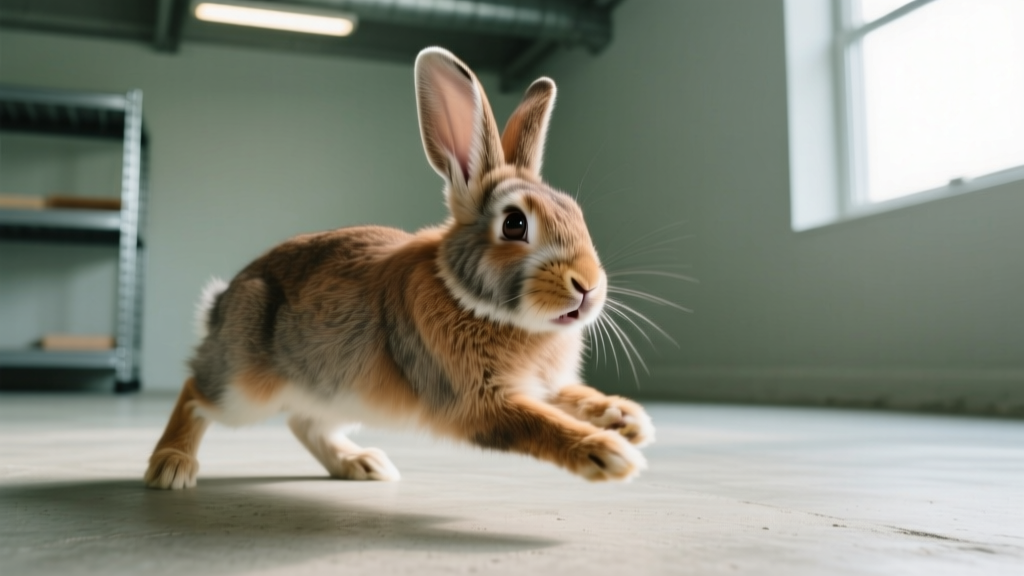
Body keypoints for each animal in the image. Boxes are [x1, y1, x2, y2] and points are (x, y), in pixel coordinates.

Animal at [144, 47, 655, 490]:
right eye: (514, 224)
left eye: (576, 213)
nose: (588, 287)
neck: (470, 300)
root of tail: (220, 305)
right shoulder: (475, 400)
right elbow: (535, 421)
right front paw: (607, 453)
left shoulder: (541, 385)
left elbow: (568, 398)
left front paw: (626, 419)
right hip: (244, 389)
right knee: (195, 393)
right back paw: (170, 467)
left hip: (339, 391)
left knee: (303, 421)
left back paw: (361, 464)